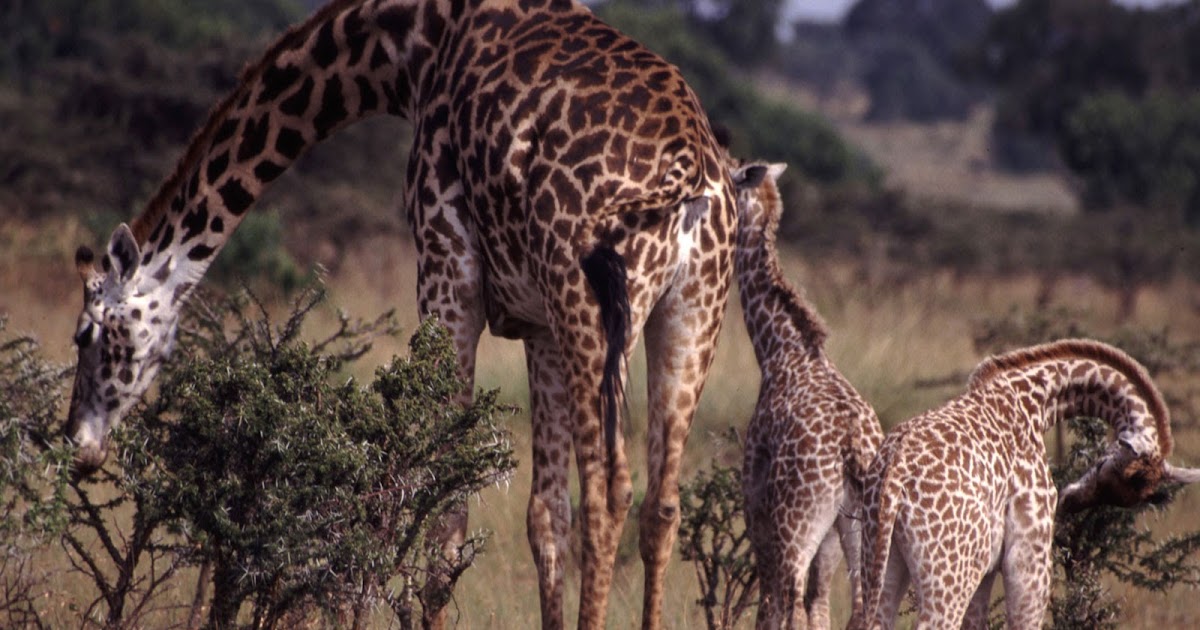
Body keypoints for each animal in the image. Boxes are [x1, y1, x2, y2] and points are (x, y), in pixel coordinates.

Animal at [63, 1, 738, 628]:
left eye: (89, 336)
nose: (78, 445)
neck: (406, 48)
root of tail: (689, 177)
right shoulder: (539, 323)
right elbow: (545, 517)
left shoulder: (446, 268)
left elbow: (445, 503)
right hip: (690, 312)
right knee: (660, 505)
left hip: (589, 306)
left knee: (609, 494)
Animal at [730, 163, 883, 630]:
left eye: (733, 179)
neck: (781, 349)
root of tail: (851, 448)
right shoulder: (831, 534)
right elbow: (820, 606)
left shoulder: (756, 503)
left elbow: (770, 604)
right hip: (859, 528)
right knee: (859, 608)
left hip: (796, 522)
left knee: (792, 601)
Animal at [858, 339, 1200, 630]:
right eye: (1108, 466)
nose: (1069, 501)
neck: (1033, 404)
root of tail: (895, 472)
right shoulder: (1028, 554)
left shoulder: (986, 570)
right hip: (949, 577)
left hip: (880, 561)